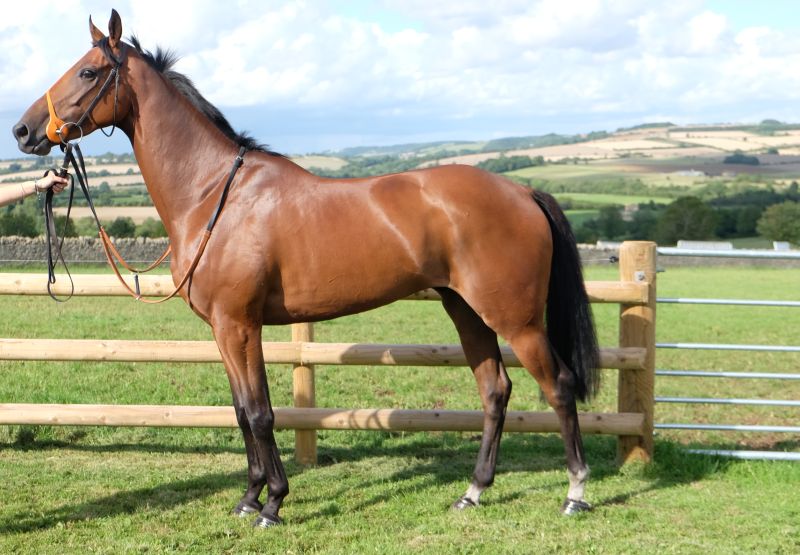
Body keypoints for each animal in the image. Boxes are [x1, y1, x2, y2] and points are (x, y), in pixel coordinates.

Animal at [12, 10, 599, 528]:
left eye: (88, 72)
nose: (22, 130)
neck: (212, 194)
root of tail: (522, 191)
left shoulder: (240, 325)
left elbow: (260, 412)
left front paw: (272, 504)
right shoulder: (222, 330)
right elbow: (241, 410)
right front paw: (249, 498)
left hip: (516, 319)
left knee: (559, 386)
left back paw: (575, 493)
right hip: (467, 311)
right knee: (494, 390)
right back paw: (473, 492)